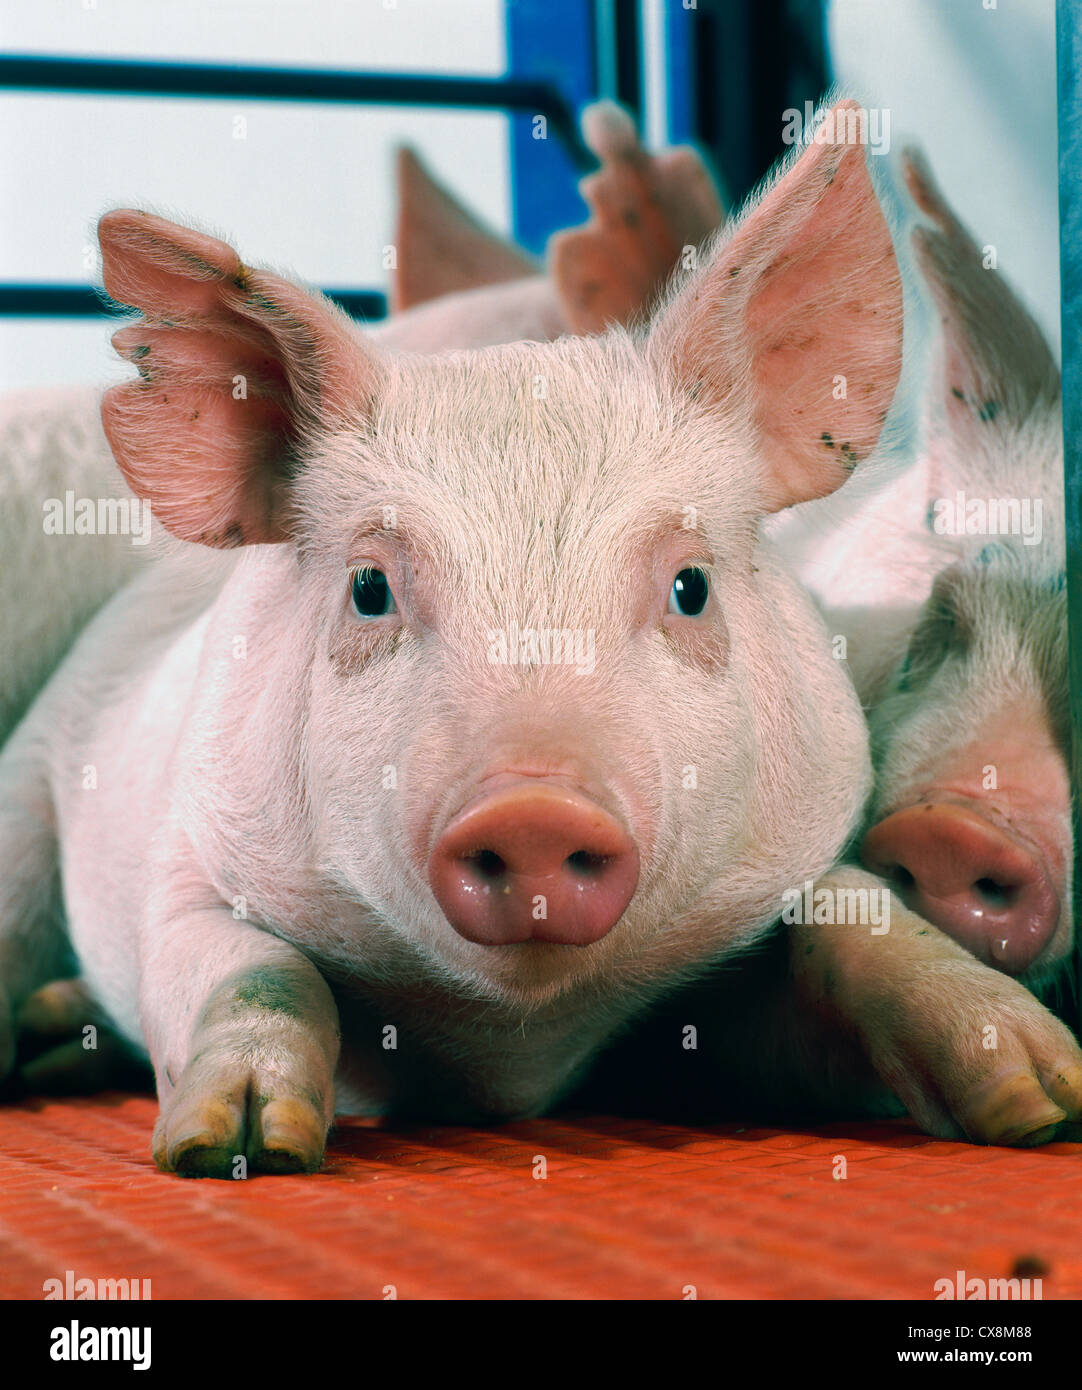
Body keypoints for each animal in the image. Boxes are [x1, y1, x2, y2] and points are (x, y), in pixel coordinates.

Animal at [0, 102, 904, 1174]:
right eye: (370, 588)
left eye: (690, 587)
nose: (534, 809)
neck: (510, 1049)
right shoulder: (196, 840)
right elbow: (251, 969)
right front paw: (236, 1146)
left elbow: (856, 928)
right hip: (26, 788)